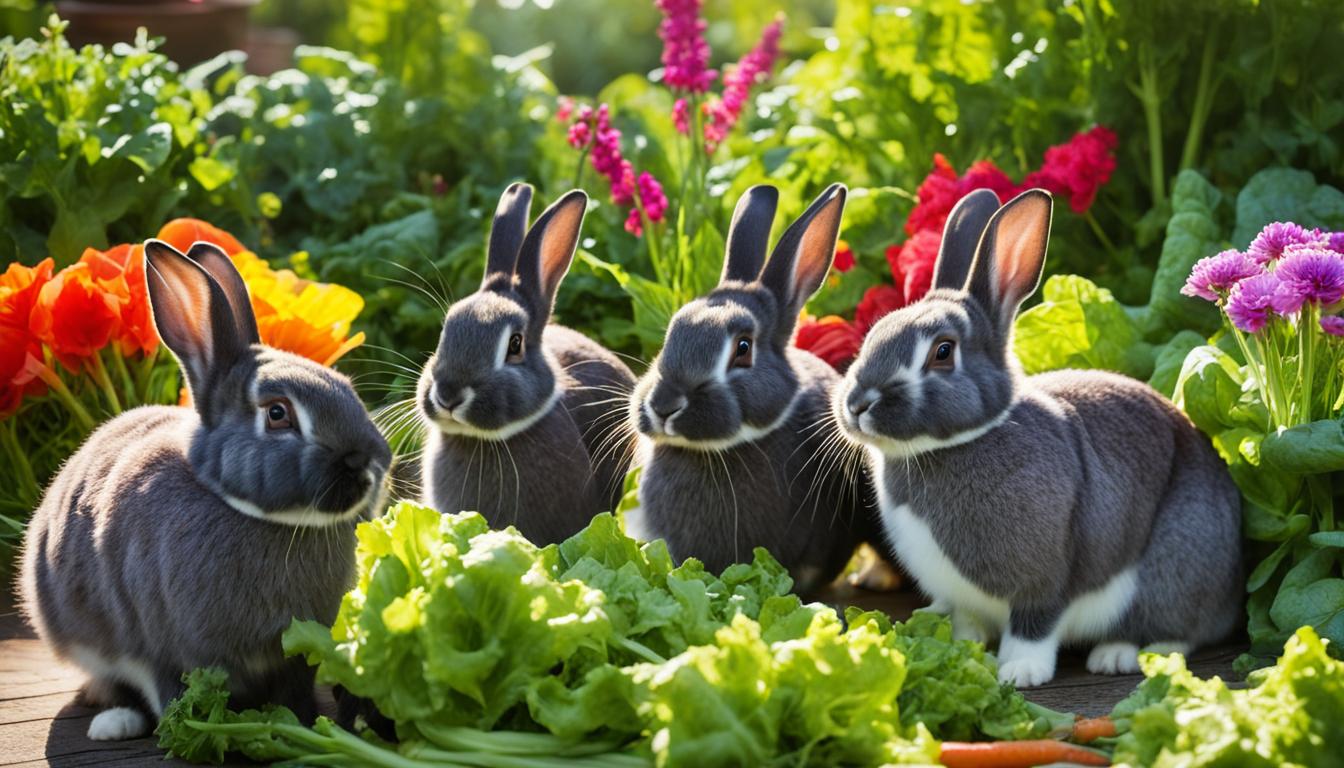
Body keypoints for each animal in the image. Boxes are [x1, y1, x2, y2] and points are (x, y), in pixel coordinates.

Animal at [18, 239, 391, 741]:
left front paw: (300, 723)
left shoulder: (295, 655)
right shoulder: (164, 650)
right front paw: (192, 729)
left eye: (347, 389)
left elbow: (295, 692)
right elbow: (170, 691)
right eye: (278, 414)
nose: (370, 462)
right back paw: (114, 723)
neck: (244, 509)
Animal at [833, 187, 1243, 687]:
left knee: (1178, 631)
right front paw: (964, 648)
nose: (856, 405)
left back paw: (1121, 655)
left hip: (1177, 561)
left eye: (942, 352)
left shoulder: (1045, 580)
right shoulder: (964, 598)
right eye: (874, 333)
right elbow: (968, 621)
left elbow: (1036, 624)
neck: (960, 441)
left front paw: (1019, 672)